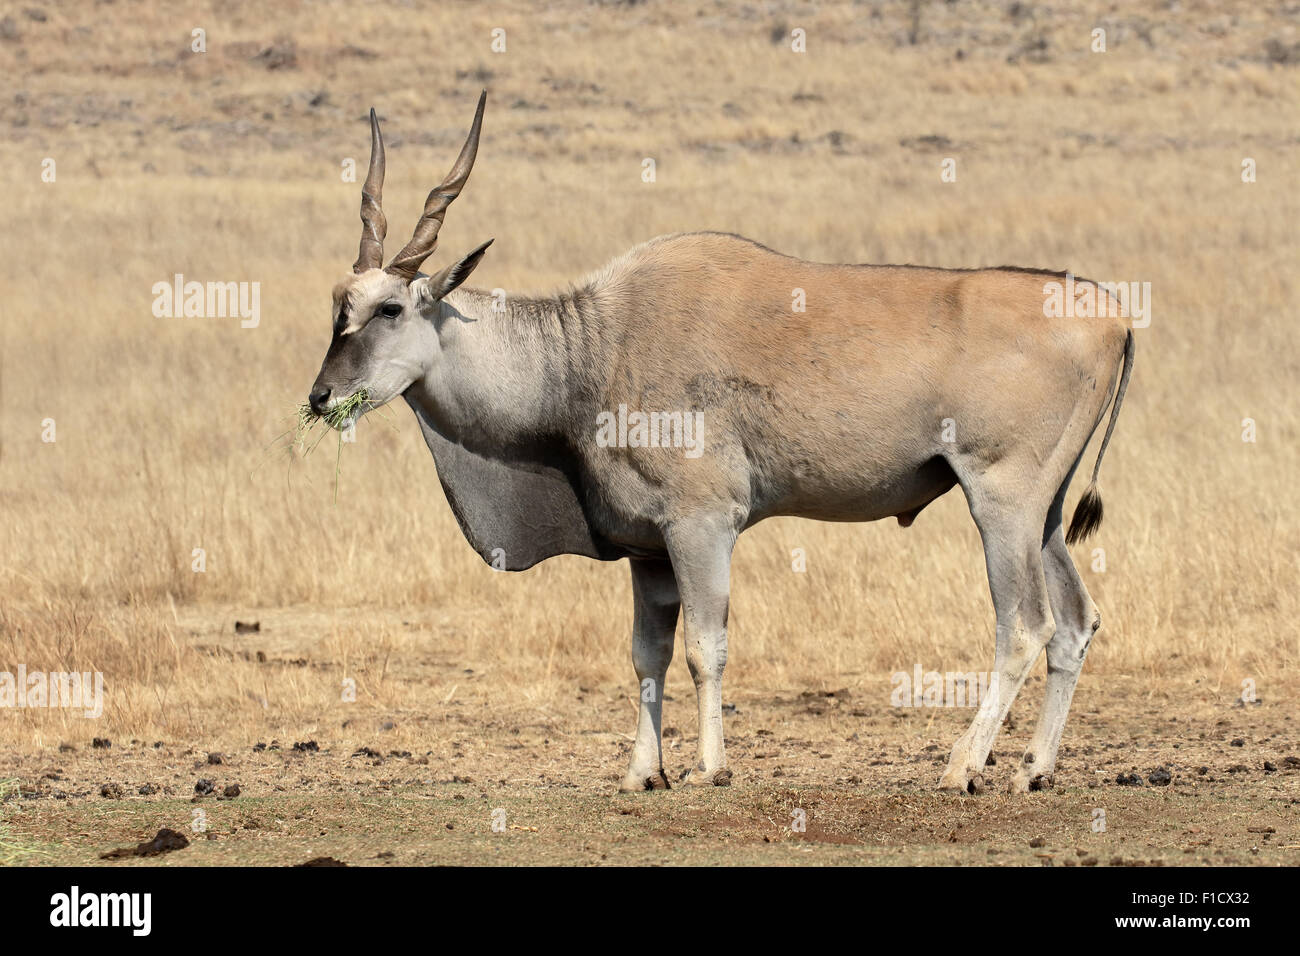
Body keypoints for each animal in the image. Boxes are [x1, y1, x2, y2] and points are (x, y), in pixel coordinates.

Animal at [307, 93, 1135, 795]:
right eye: (338, 305)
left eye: (389, 308)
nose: (319, 398)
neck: (590, 348)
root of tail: (1110, 312)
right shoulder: (647, 551)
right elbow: (647, 655)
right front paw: (643, 773)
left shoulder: (702, 528)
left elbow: (706, 648)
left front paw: (709, 768)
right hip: (1045, 516)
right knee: (1075, 624)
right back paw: (1033, 770)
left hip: (1001, 504)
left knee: (1025, 626)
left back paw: (964, 766)